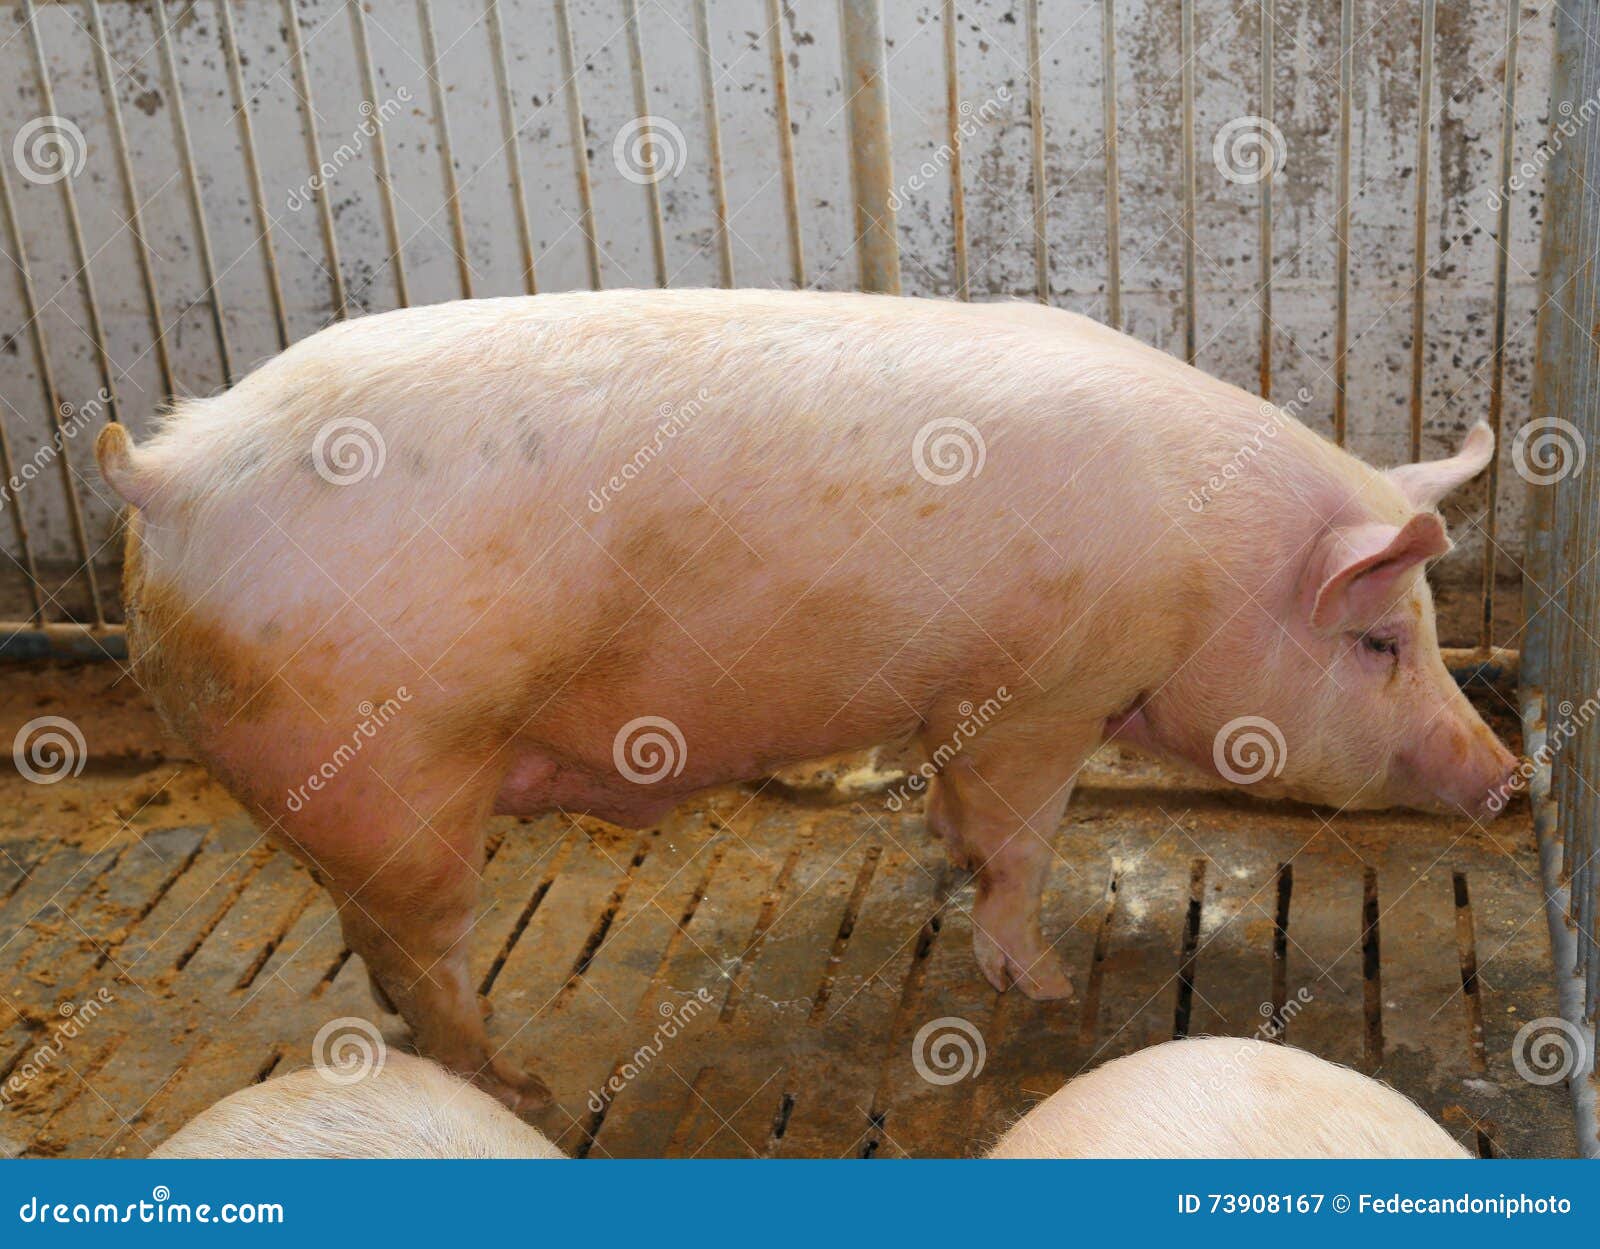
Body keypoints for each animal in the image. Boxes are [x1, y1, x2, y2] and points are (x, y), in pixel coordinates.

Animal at [94, 289, 1516, 1110]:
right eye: (1380, 641)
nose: (1507, 774)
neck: (1207, 566)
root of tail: (166, 475)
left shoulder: (964, 700)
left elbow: (958, 812)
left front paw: (947, 867)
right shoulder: (1043, 690)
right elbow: (1018, 843)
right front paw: (1045, 986)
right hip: (393, 779)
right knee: (421, 957)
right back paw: (523, 1085)